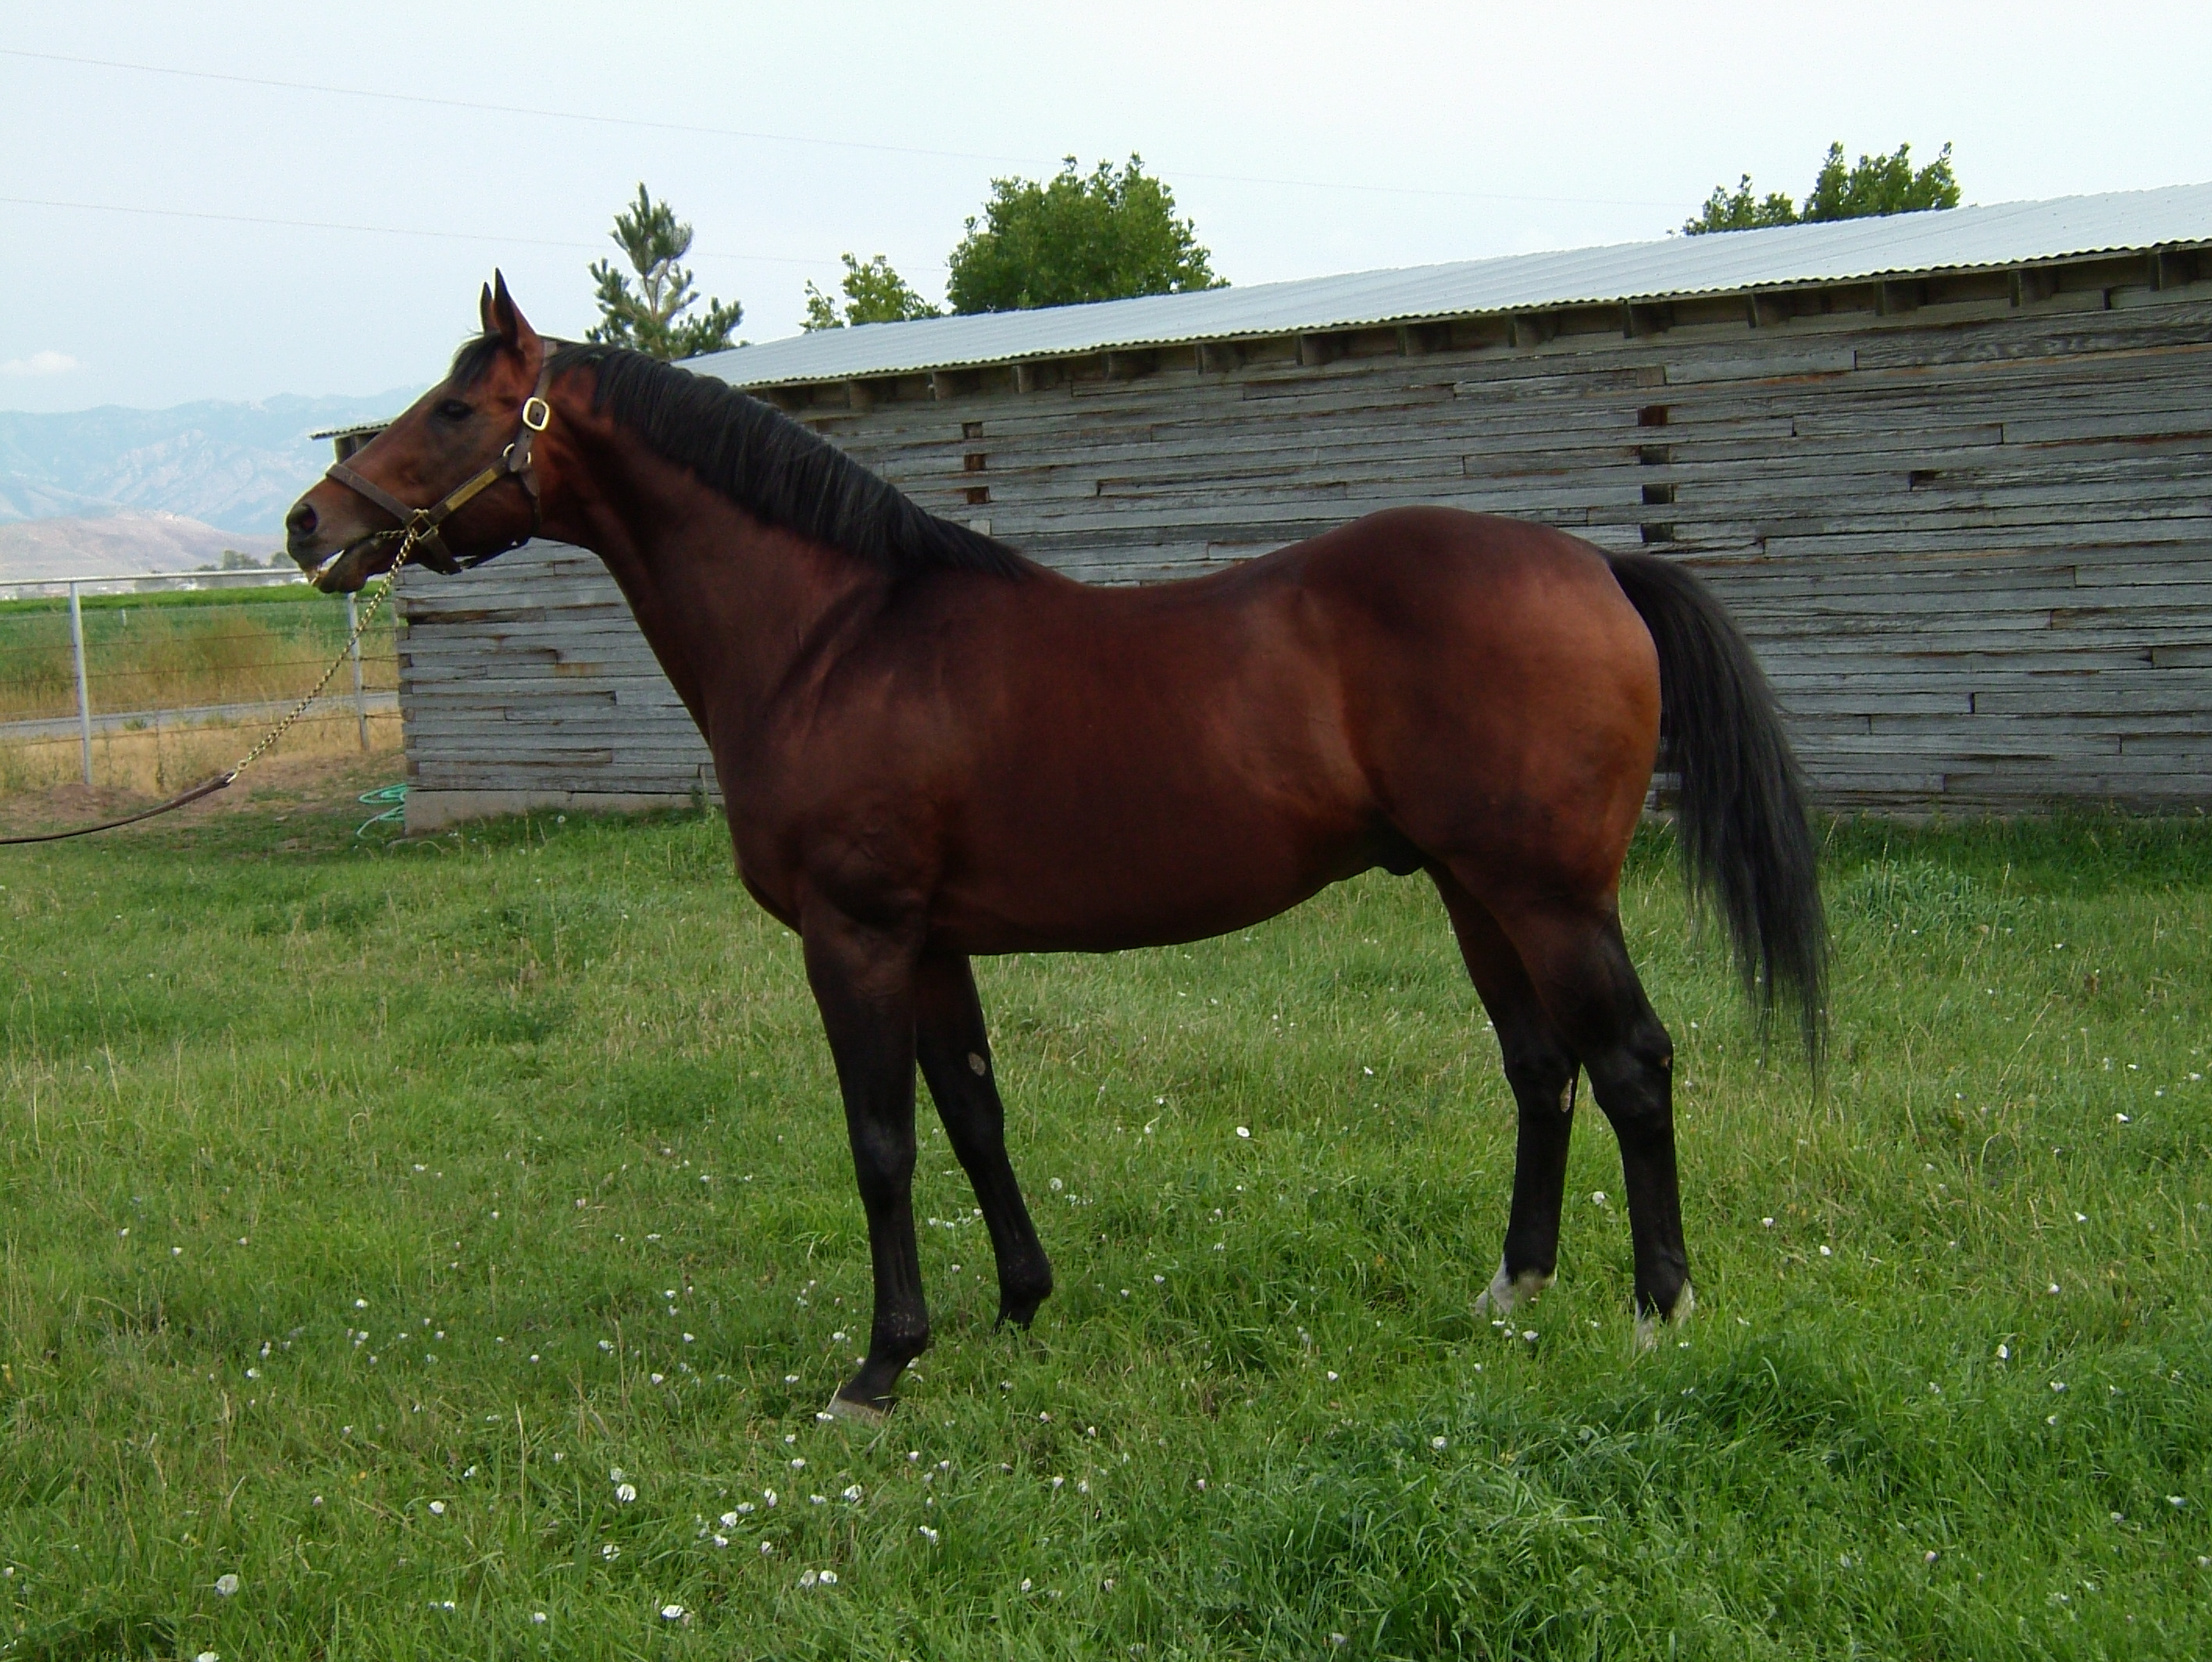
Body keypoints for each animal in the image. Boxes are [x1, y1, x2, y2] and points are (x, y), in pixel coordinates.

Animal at [287, 276, 1824, 1419]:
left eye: (457, 407)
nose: (312, 522)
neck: (835, 638)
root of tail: (1596, 564)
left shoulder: (856, 937)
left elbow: (882, 1141)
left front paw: (881, 1366)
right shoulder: (932, 942)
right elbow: (974, 1114)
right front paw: (1020, 1306)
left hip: (1548, 895)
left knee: (1629, 1064)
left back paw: (1658, 1308)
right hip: (1471, 891)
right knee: (1538, 1068)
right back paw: (1514, 1288)